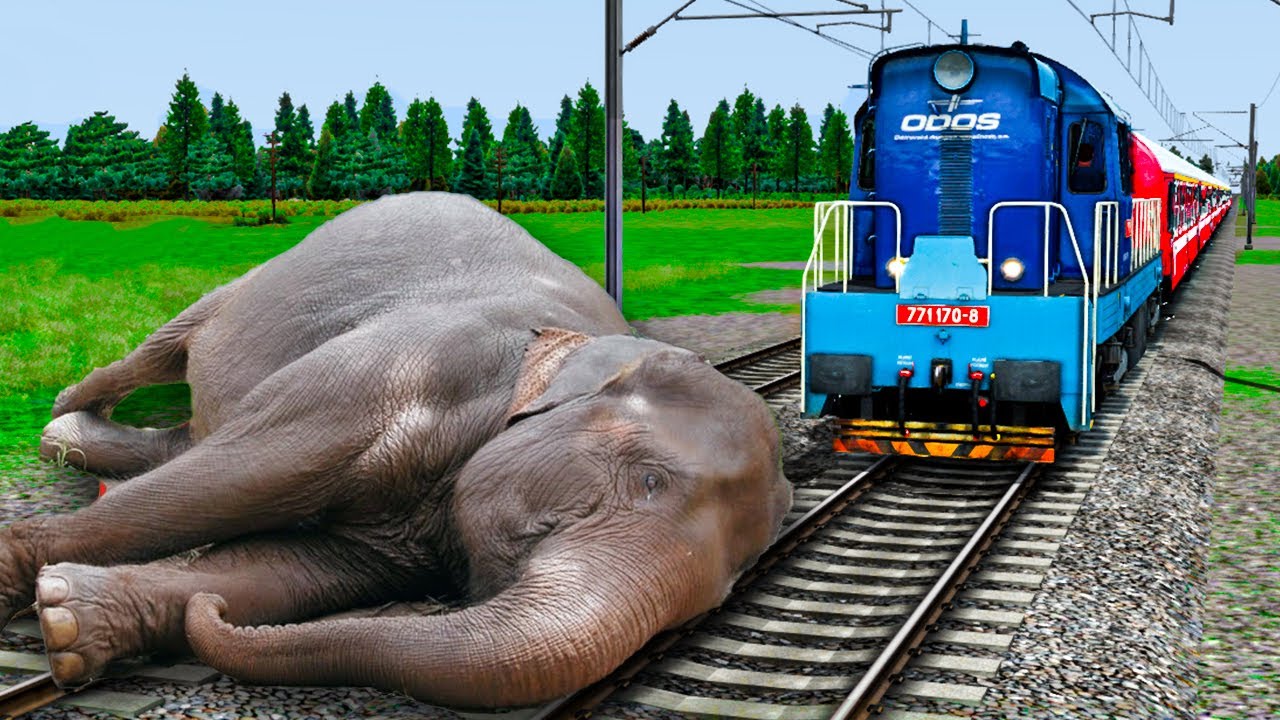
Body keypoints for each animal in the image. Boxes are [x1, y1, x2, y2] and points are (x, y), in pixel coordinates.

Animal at [0, 192, 792, 709]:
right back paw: (64, 423)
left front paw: (69, 620)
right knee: (162, 364)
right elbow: (235, 475)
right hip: (251, 284)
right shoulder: (401, 367)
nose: (213, 611)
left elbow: (297, 571)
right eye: (649, 479)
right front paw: (22, 577)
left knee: (188, 438)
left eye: (716, 599)